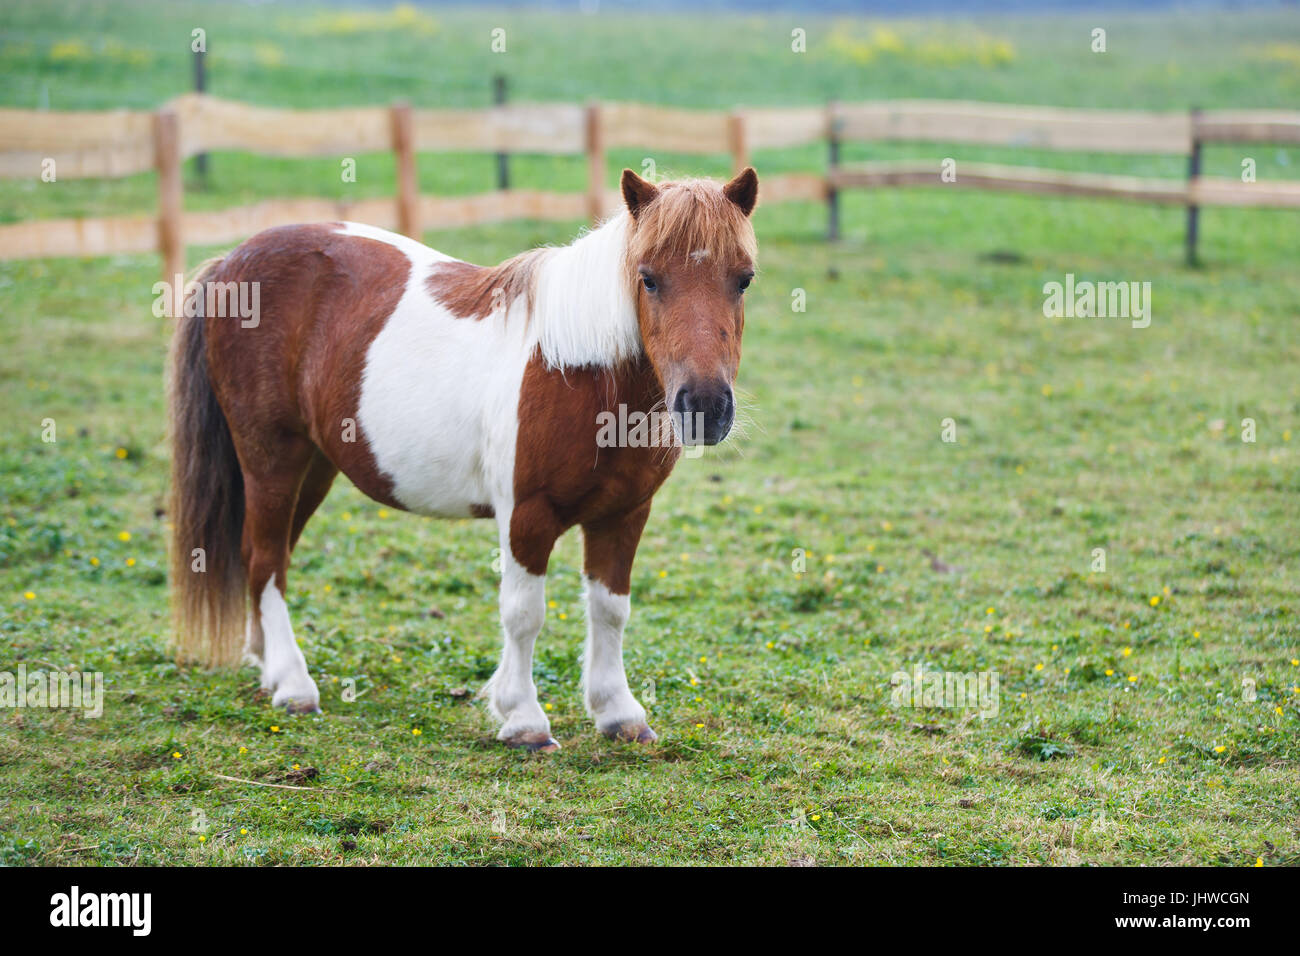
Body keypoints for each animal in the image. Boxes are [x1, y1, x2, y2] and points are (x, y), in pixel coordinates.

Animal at [167, 166, 758, 751]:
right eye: (649, 277)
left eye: (744, 278)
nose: (705, 407)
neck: (578, 372)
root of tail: (232, 261)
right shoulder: (526, 516)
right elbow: (524, 614)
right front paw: (522, 719)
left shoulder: (625, 514)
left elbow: (610, 609)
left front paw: (618, 713)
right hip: (272, 457)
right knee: (267, 560)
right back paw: (293, 686)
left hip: (313, 467)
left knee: (265, 555)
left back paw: (268, 666)